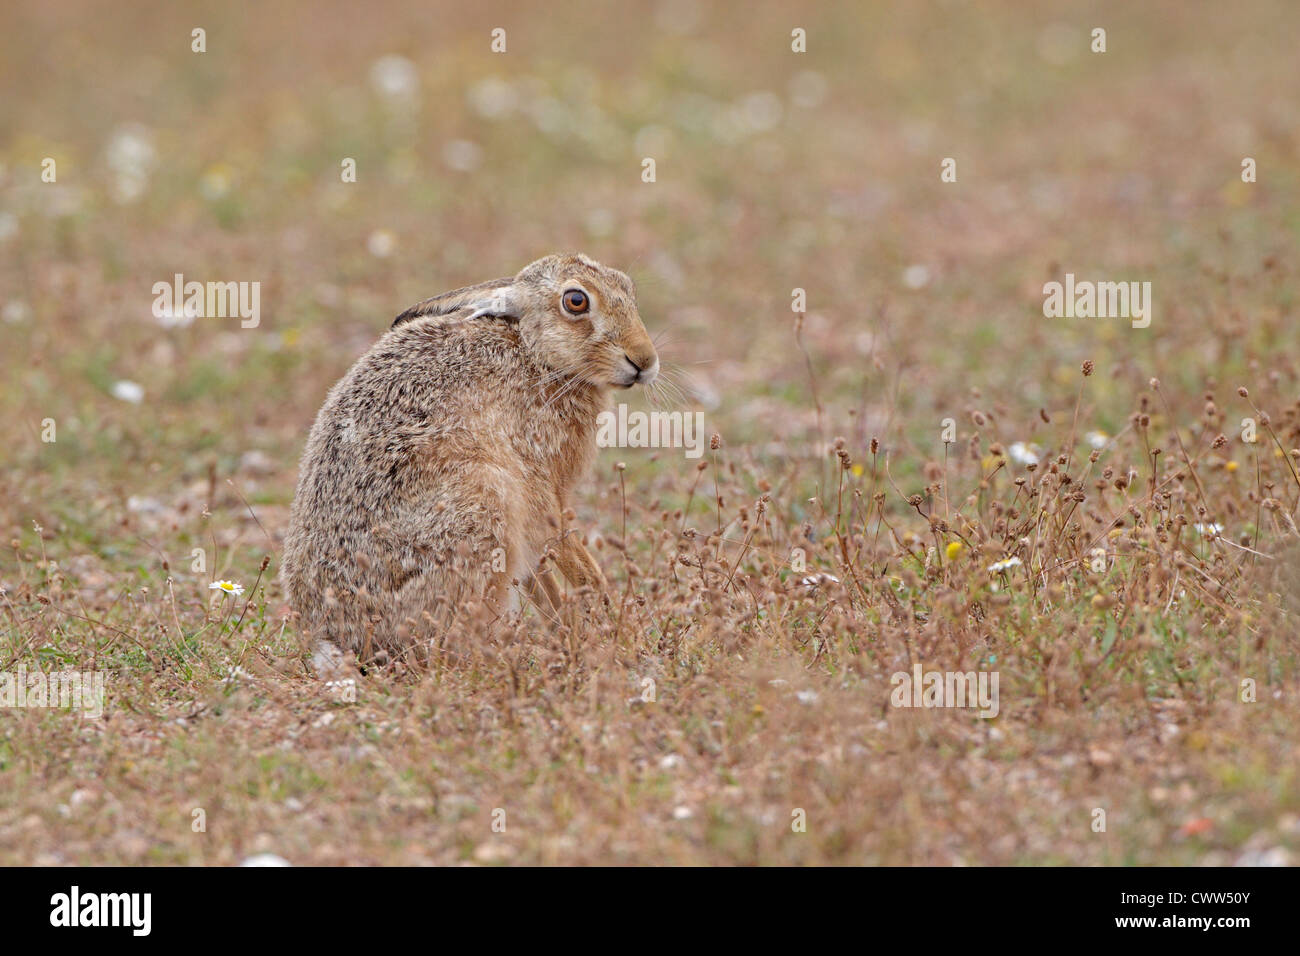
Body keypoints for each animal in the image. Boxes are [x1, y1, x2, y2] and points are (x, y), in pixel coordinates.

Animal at [281, 253, 659, 663]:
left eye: (627, 287)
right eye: (576, 301)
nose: (645, 360)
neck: (536, 353)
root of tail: (334, 636)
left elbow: (539, 577)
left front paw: (570, 632)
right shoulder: (537, 485)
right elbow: (573, 559)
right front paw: (617, 634)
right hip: (481, 503)